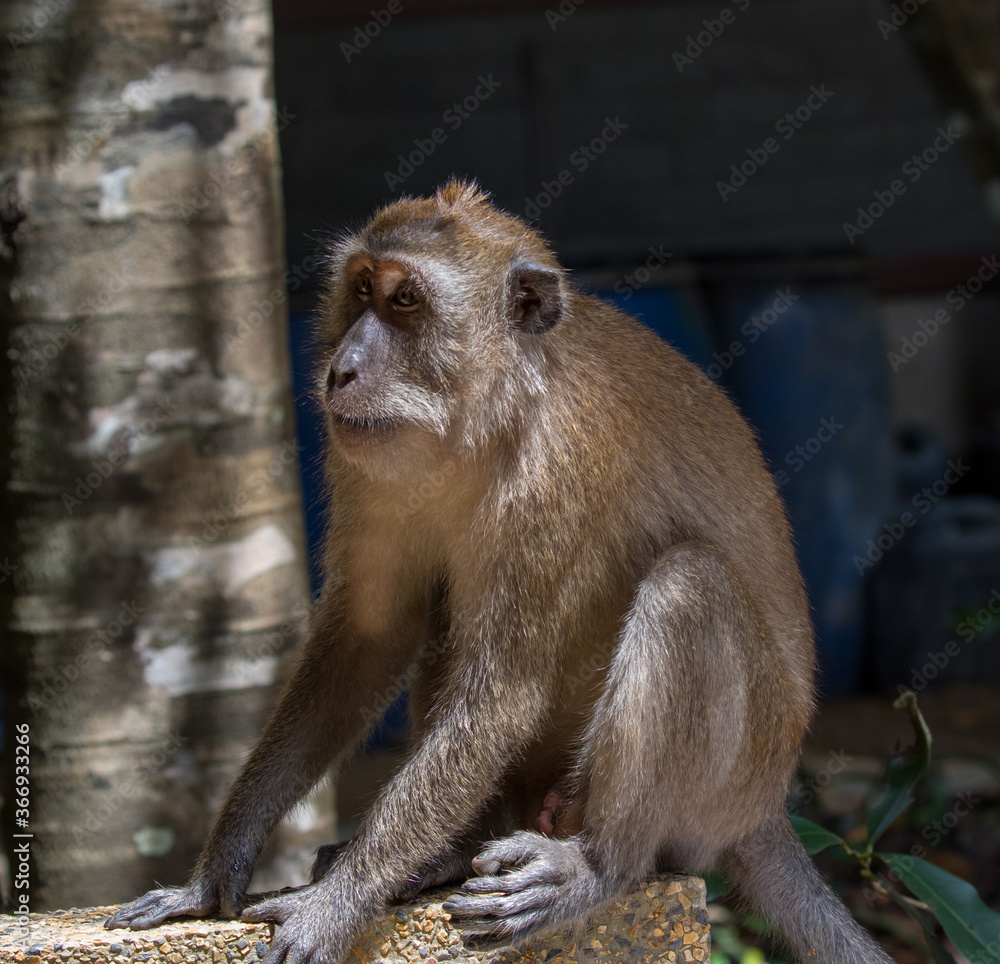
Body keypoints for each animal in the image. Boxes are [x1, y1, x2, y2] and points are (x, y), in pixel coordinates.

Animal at [107, 180, 892, 964]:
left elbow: (500, 694)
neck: (487, 418)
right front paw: (214, 876)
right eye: (361, 289)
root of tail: (766, 806)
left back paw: (599, 865)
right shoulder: (362, 465)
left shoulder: (555, 479)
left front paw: (334, 905)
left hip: (726, 782)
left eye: (405, 301)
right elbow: (366, 642)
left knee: (690, 586)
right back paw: (450, 853)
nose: (341, 370)